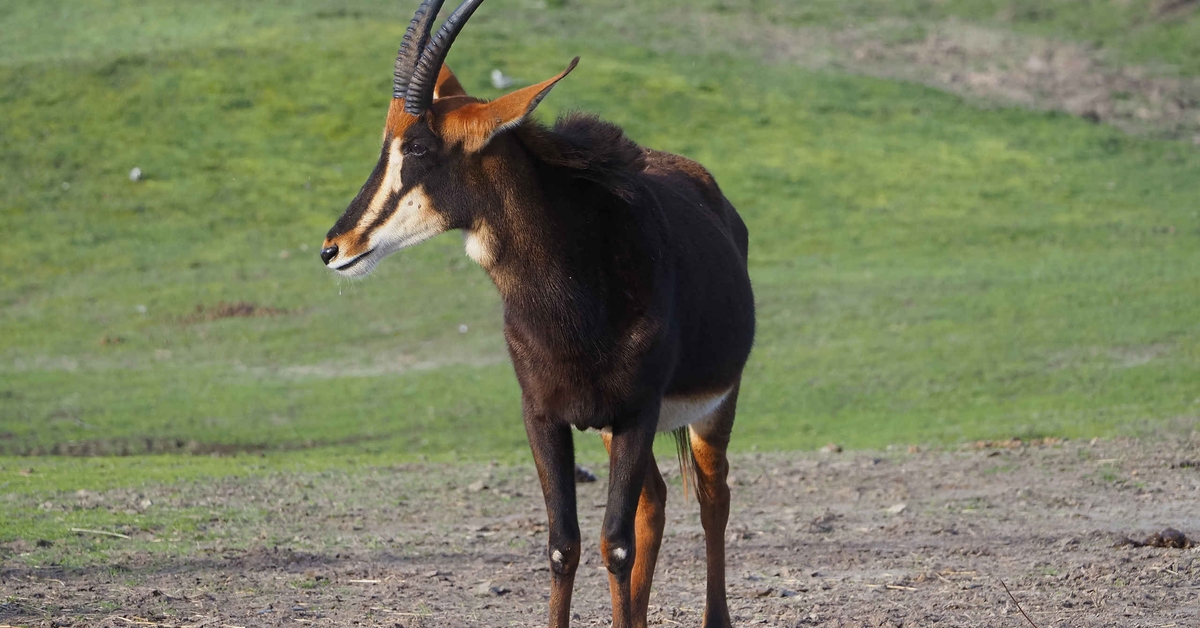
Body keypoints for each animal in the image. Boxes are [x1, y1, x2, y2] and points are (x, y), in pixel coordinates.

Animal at [319, 1, 755, 626]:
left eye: (418, 148)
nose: (335, 247)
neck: (573, 300)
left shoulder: (637, 411)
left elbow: (613, 543)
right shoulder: (544, 416)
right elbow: (562, 544)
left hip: (713, 407)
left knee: (713, 496)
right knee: (654, 502)